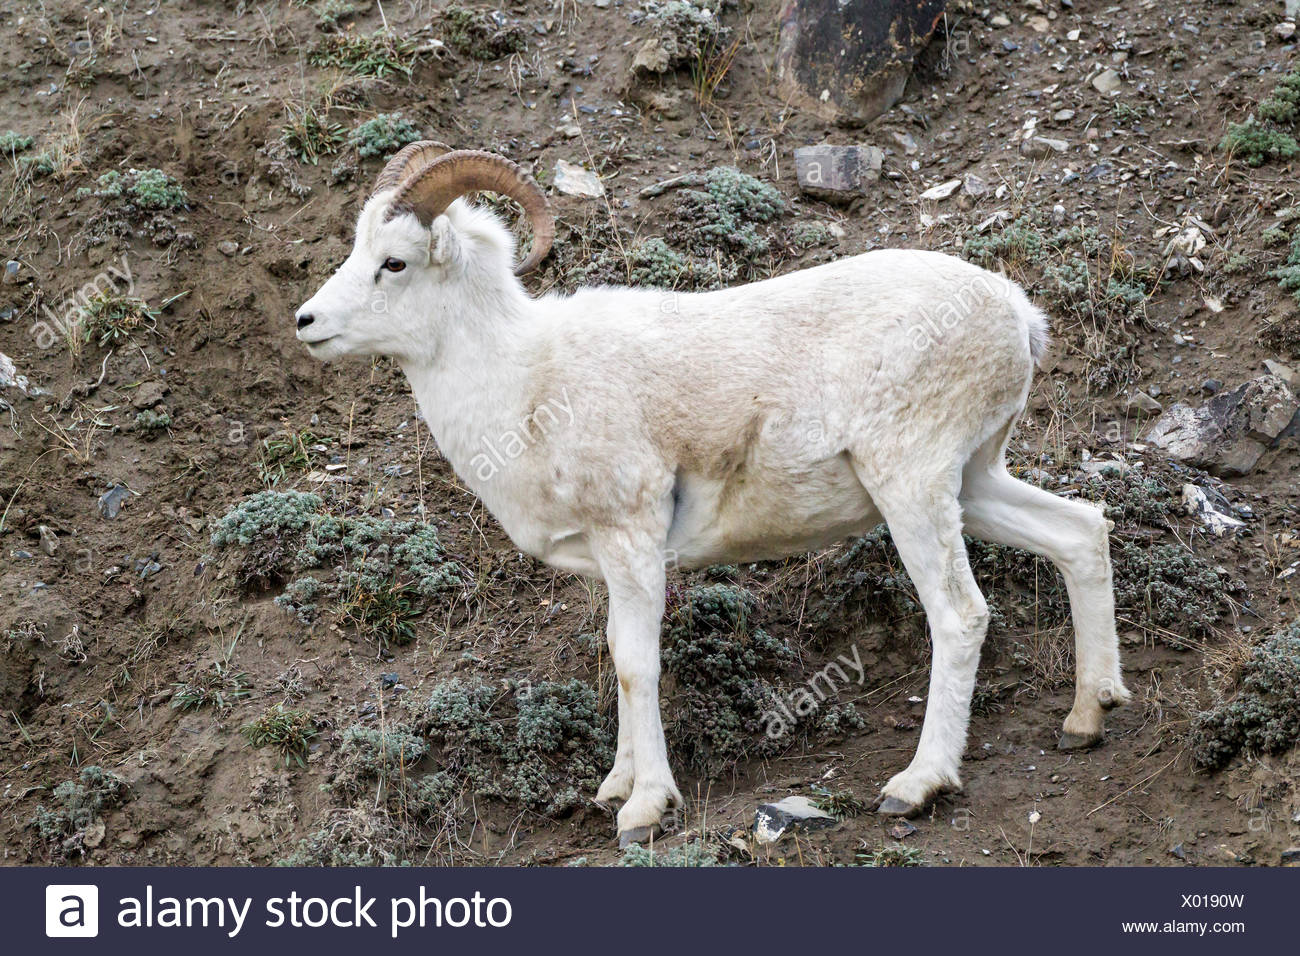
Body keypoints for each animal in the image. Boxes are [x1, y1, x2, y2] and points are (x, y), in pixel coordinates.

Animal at [295, 143, 1132, 845]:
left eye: (394, 263)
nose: (308, 323)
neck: (525, 382)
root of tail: (1016, 314)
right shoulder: (614, 563)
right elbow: (617, 659)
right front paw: (617, 784)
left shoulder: (633, 537)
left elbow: (636, 665)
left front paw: (642, 810)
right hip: (976, 483)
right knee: (1080, 532)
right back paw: (1087, 716)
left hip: (913, 488)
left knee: (959, 615)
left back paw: (915, 785)